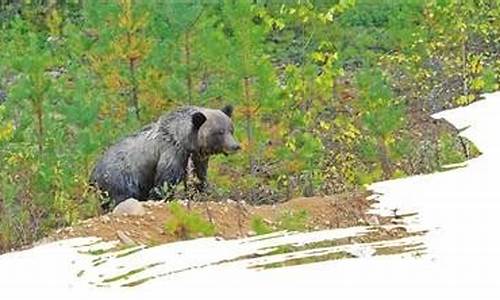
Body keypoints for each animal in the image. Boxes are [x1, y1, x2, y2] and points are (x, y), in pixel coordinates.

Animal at [91, 104, 240, 207]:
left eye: (231, 129)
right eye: (219, 132)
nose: (235, 146)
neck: (187, 142)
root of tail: (93, 172)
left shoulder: (196, 158)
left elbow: (199, 176)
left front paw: (201, 191)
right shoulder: (172, 153)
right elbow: (165, 181)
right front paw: (161, 197)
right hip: (120, 178)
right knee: (121, 196)